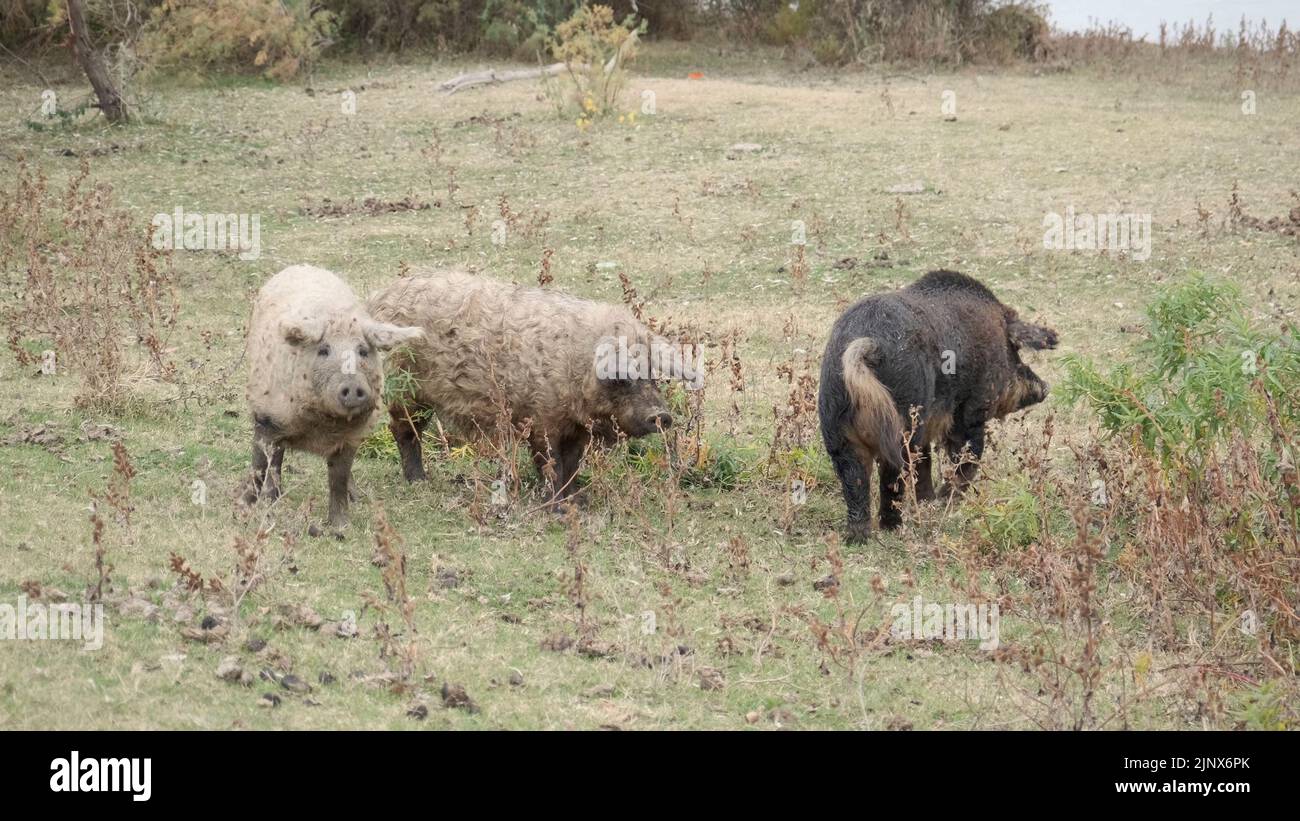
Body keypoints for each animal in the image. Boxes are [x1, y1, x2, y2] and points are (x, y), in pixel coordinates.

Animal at [243, 265, 423, 528]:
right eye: (324, 350)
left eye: (363, 351)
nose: (352, 385)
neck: (321, 429)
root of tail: (303, 266)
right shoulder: (266, 417)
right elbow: (259, 465)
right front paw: (247, 509)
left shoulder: (351, 438)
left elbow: (338, 479)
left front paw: (341, 527)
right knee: (276, 458)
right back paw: (273, 497)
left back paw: (356, 496)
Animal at [366, 271, 676, 504]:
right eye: (621, 377)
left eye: (652, 374)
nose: (661, 415)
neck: (575, 367)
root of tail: (380, 297)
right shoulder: (541, 417)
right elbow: (551, 463)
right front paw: (557, 506)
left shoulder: (573, 428)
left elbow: (573, 464)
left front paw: (578, 500)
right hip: (405, 386)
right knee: (404, 430)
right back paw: (418, 481)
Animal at [818, 270, 1058, 543]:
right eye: (1014, 349)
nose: (1046, 387)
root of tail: (866, 345)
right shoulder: (969, 414)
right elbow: (967, 458)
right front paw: (944, 502)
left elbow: (927, 462)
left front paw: (930, 502)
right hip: (903, 420)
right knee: (892, 475)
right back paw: (894, 527)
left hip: (836, 426)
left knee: (854, 477)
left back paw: (858, 537)